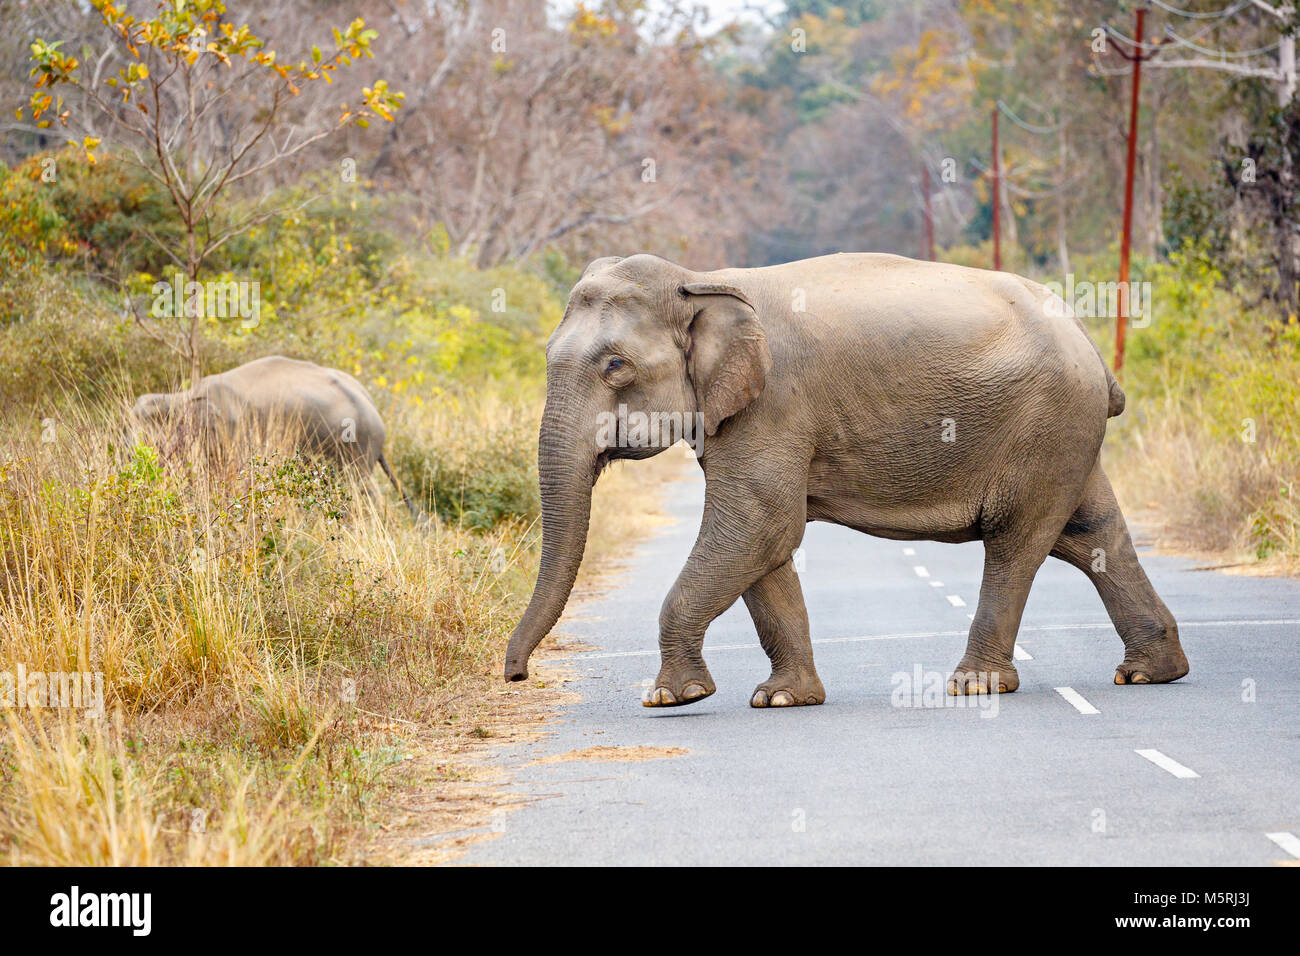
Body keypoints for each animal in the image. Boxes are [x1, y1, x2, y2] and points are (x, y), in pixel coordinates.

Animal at [503, 253, 1189, 708]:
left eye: (615, 366)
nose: (516, 675)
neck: (699, 279)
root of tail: (1086, 336)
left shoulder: (773, 404)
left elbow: (758, 526)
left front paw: (673, 698)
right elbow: (766, 547)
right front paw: (784, 699)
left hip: (1046, 423)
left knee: (1017, 542)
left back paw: (975, 685)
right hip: (1066, 433)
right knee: (1090, 533)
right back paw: (1150, 674)